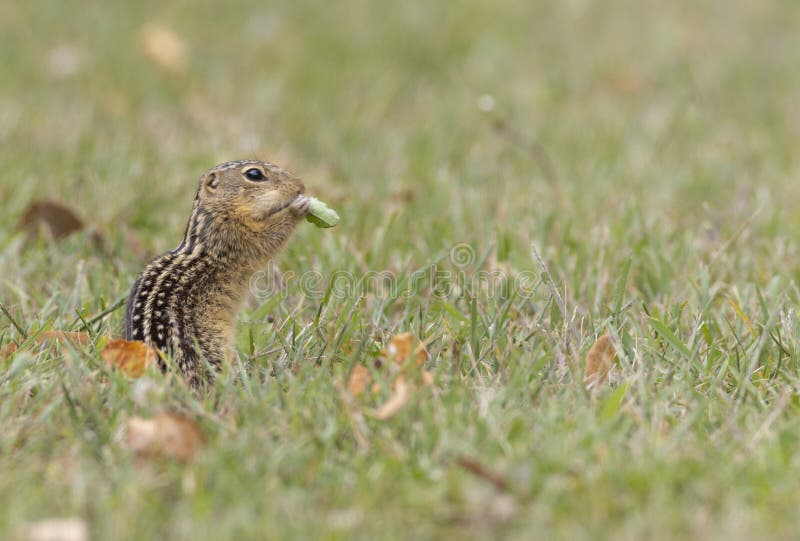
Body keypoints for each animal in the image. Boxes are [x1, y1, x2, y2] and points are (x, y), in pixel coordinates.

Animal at [124, 159, 311, 388]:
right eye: (254, 174)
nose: (300, 186)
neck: (213, 216)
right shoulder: (235, 237)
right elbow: (269, 238)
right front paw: (298, 208)